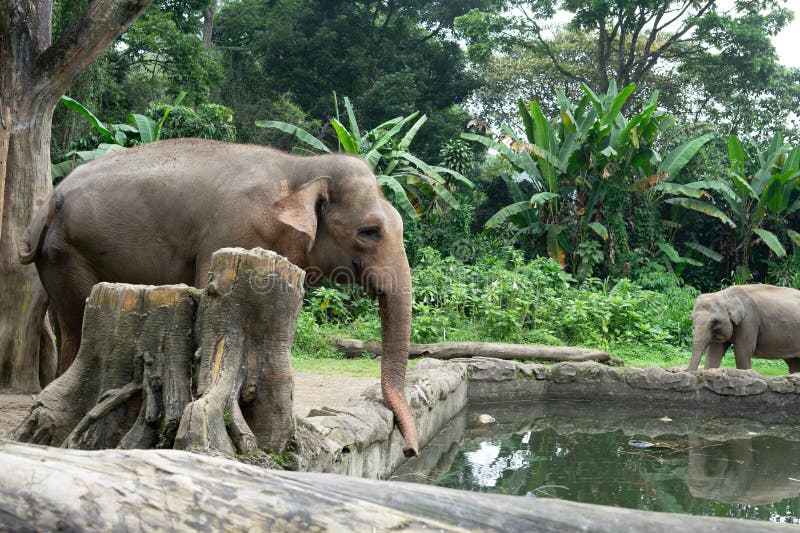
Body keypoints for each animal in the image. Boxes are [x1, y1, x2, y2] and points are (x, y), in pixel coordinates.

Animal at [19, 138, 419, 456]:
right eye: (369, 231)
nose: (410, 450)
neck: (301, 166)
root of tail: (50, 197)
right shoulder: (236, 230)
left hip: (58, 258)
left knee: (66, 324)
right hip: (69, 252)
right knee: (76, 325)